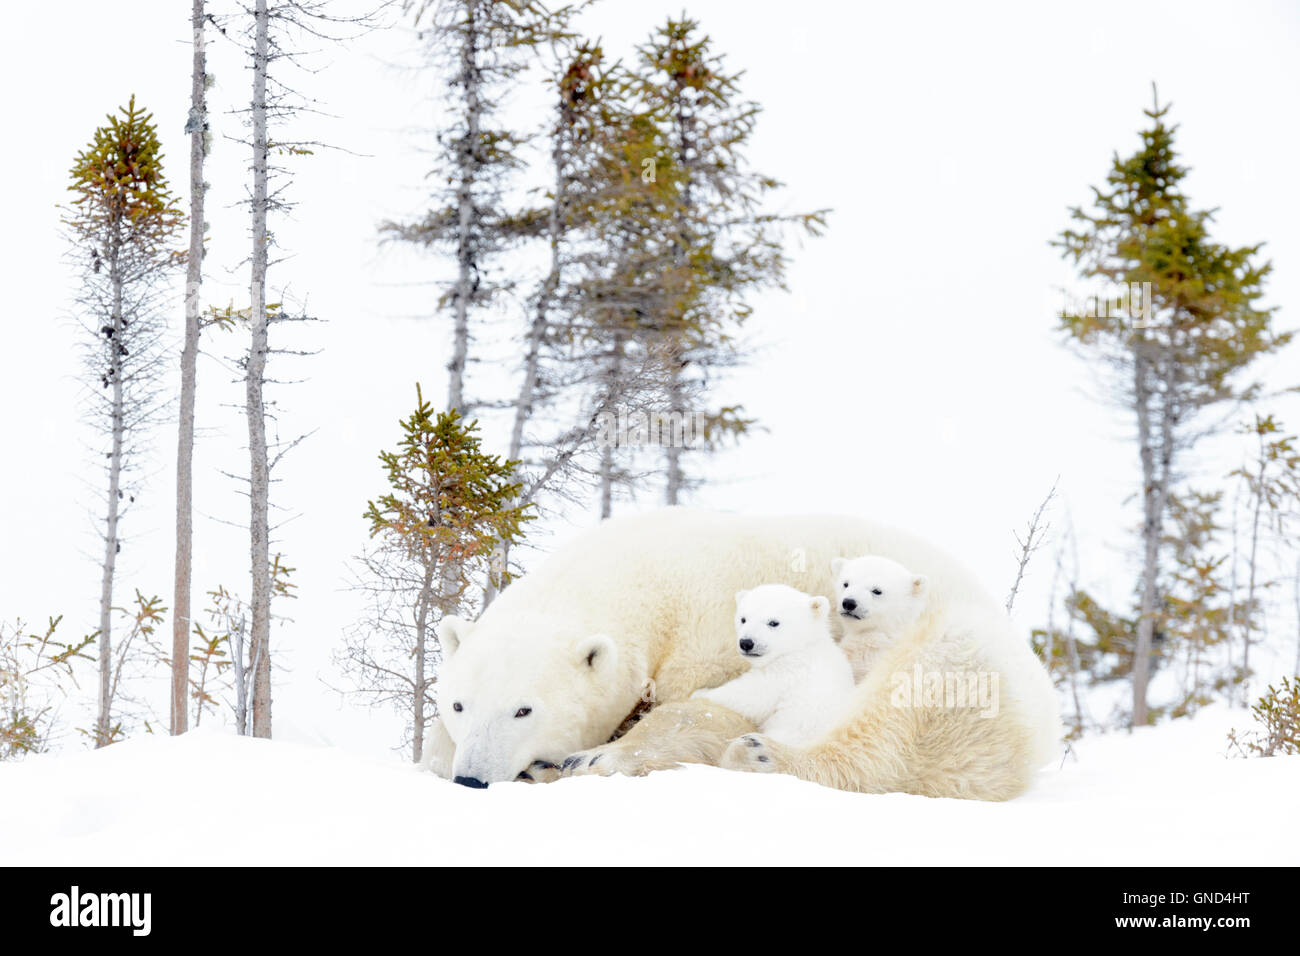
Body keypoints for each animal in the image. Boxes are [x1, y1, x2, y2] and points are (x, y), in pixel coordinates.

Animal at [690, 585, 856, 747]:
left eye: (773, 622)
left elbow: (752, 695)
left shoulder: (790, 671)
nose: (746, 643)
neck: (804, 646)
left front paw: (700, 693)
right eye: (743, 619)